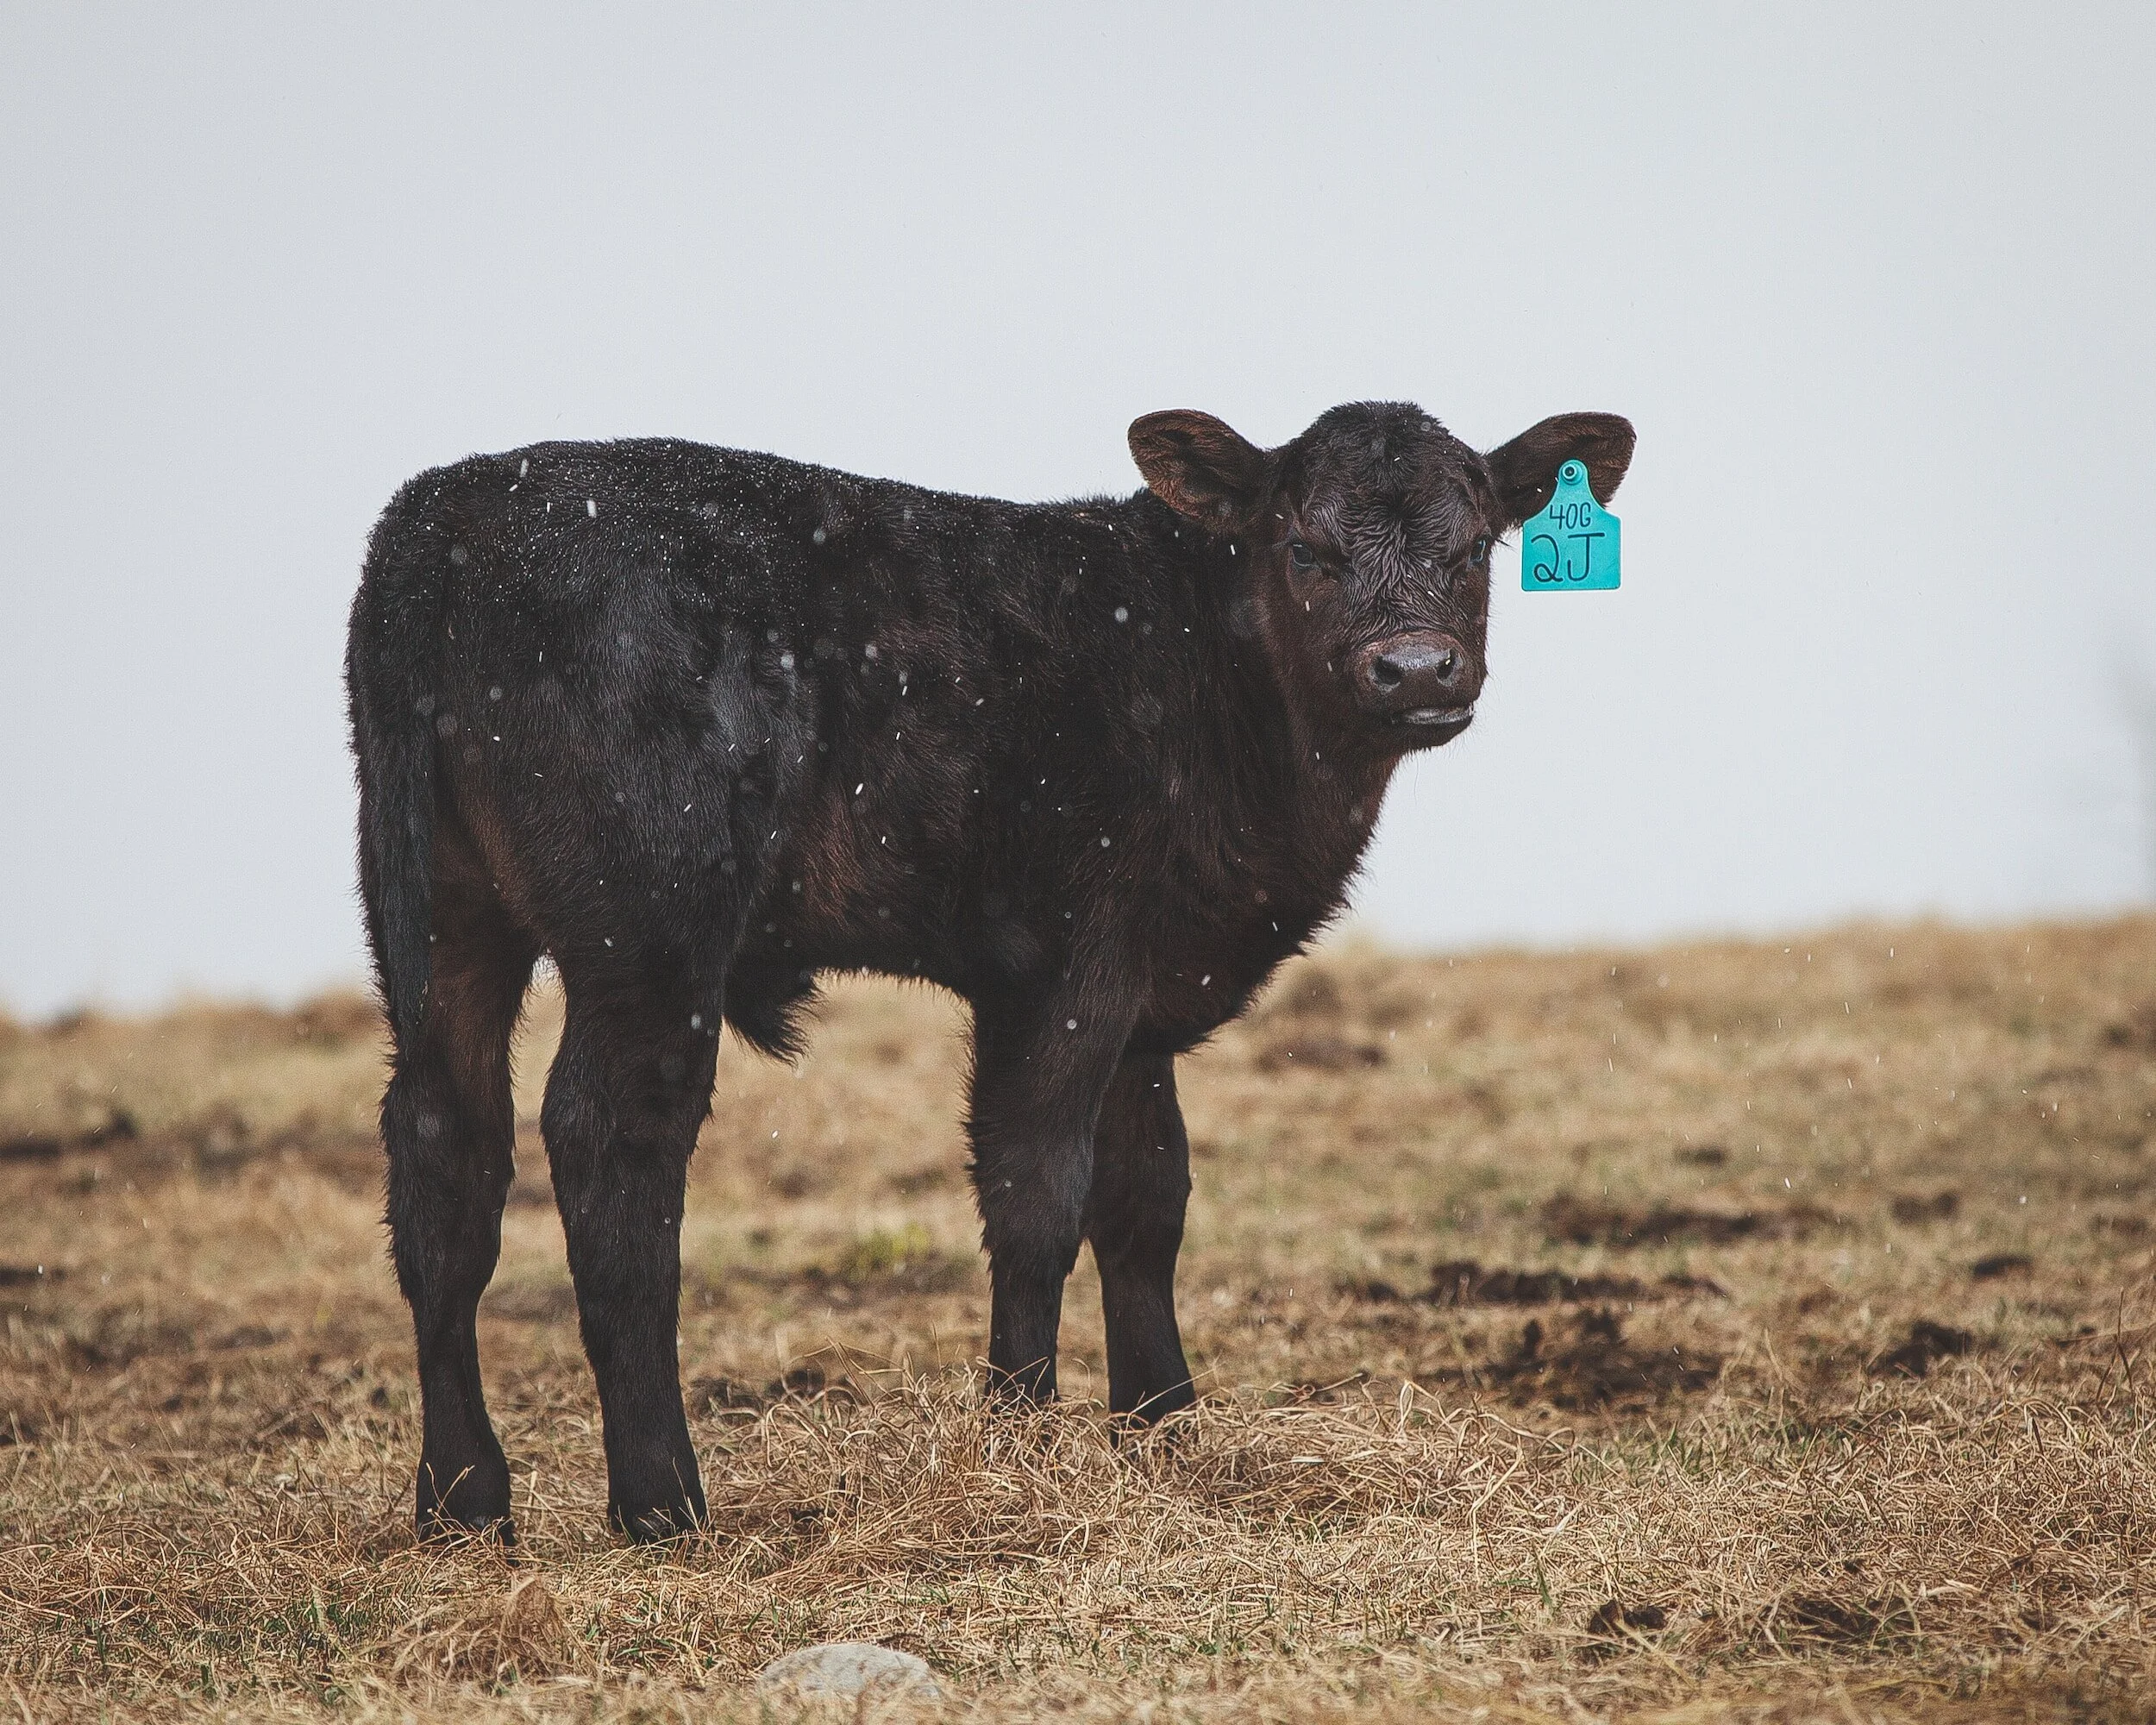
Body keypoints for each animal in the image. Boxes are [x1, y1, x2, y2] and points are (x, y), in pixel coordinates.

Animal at [345, 401, 1634, 1542]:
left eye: (1472, 547)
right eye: (1304, 547)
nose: (1414, 668)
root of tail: (449, 513)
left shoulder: (1143, 991)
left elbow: (1146, 1200)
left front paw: (1161, 1428)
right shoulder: (1066, 963)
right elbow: (1036, 1196)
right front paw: (1021, 1438)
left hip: (438, 919)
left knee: (445, 1154)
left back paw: (463, 1503)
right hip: (649, 934)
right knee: (611, 1151)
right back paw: (661, 1503)